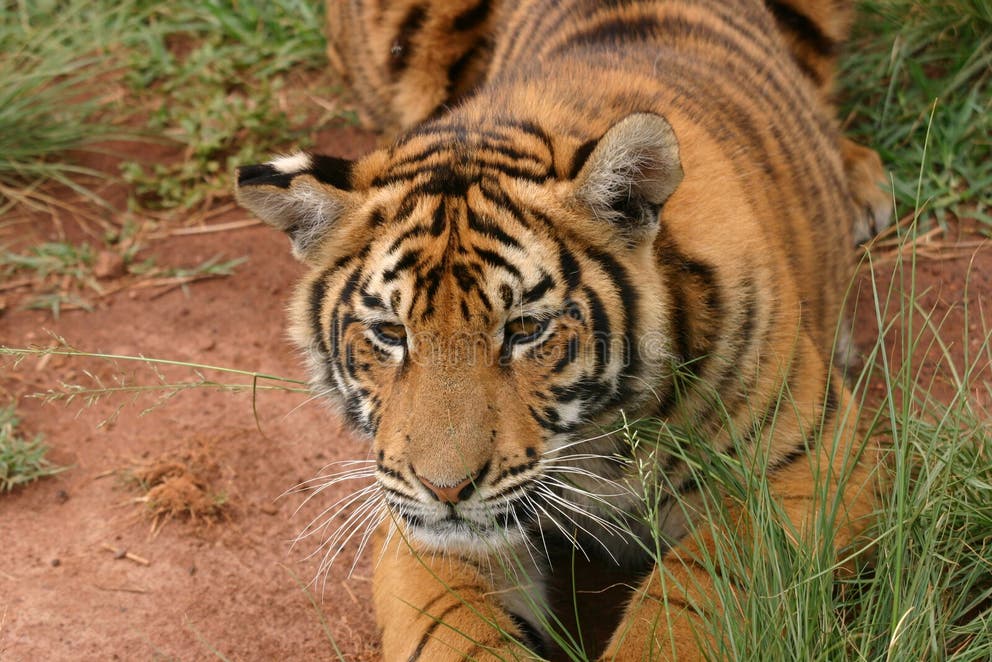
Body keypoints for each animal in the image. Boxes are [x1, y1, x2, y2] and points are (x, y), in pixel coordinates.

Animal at [236, 0, 891, 658]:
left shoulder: (814, 460)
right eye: (392, 334)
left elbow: (692, 597)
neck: (600, 442)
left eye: (524, 329)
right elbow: (453, 632)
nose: (445, 490)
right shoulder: (412, 525)